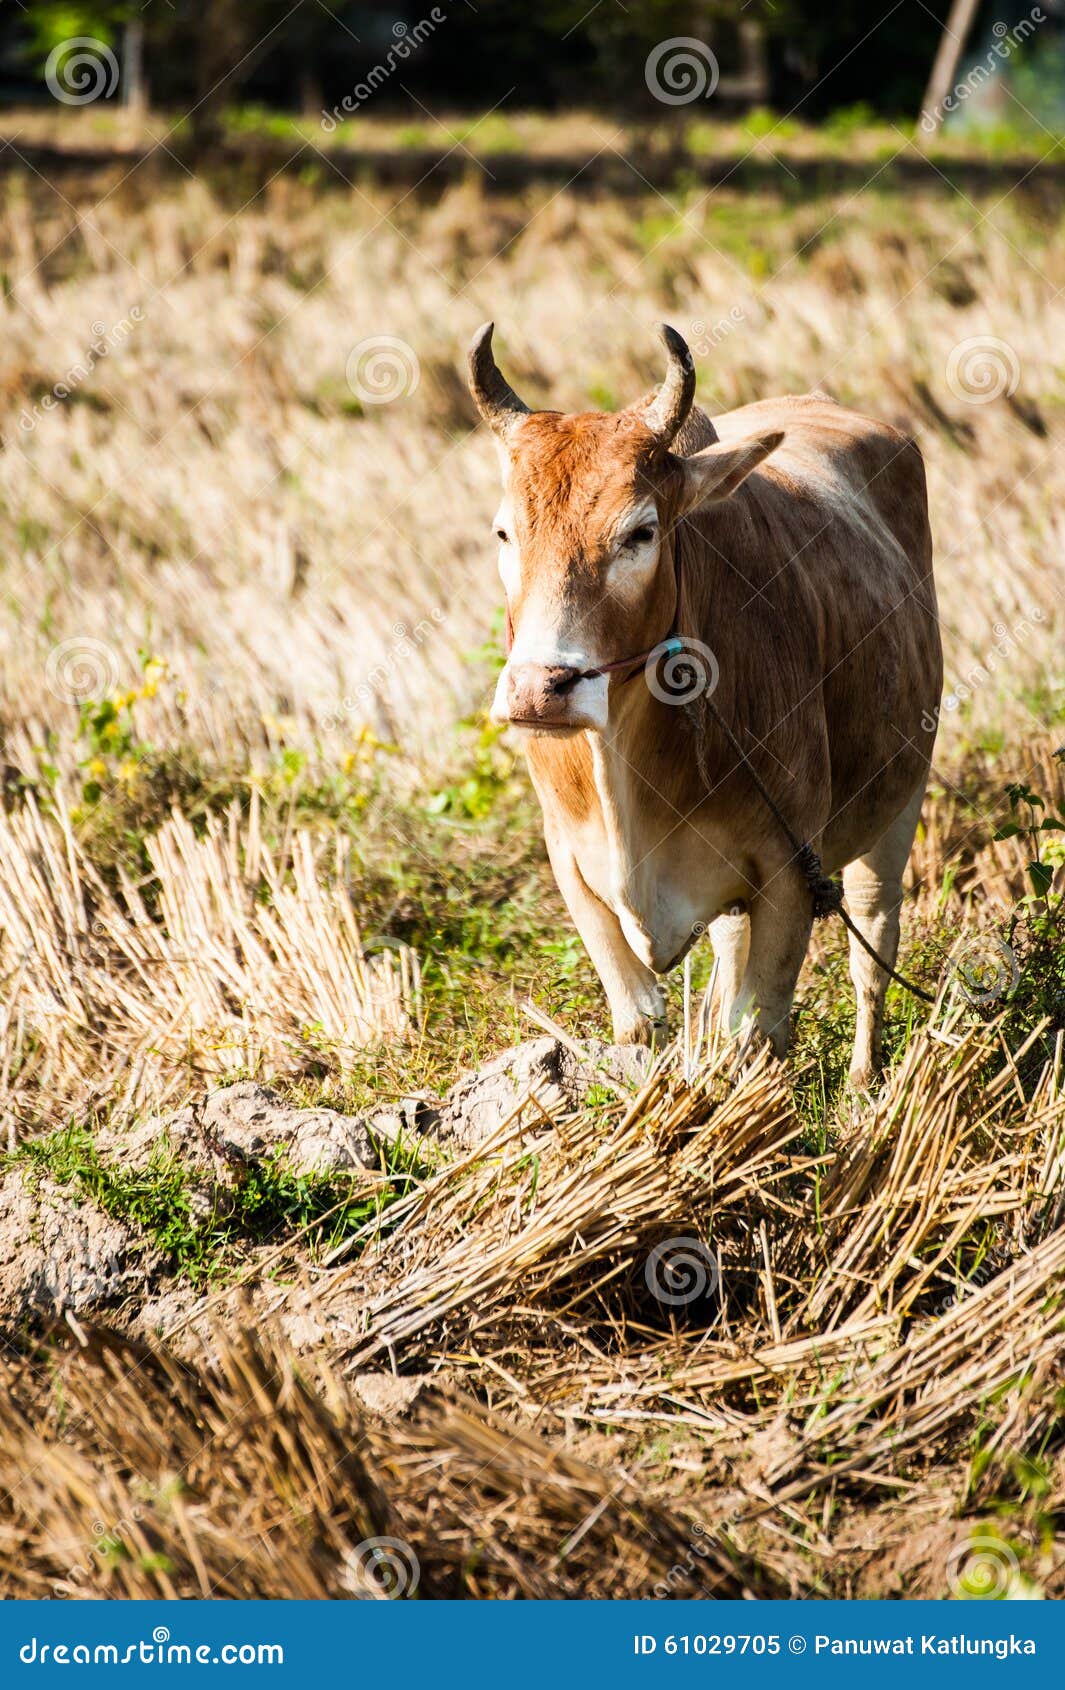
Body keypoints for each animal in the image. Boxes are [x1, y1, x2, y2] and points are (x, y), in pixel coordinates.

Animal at [467, 323, 942, 1088]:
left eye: (640, 532)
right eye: (505, 533)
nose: (540, 688)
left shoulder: (789, 874)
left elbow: (761, 1031)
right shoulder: (573, 869)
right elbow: (641, 1022)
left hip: (899, 803)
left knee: (872, 944)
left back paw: (866, 1084)